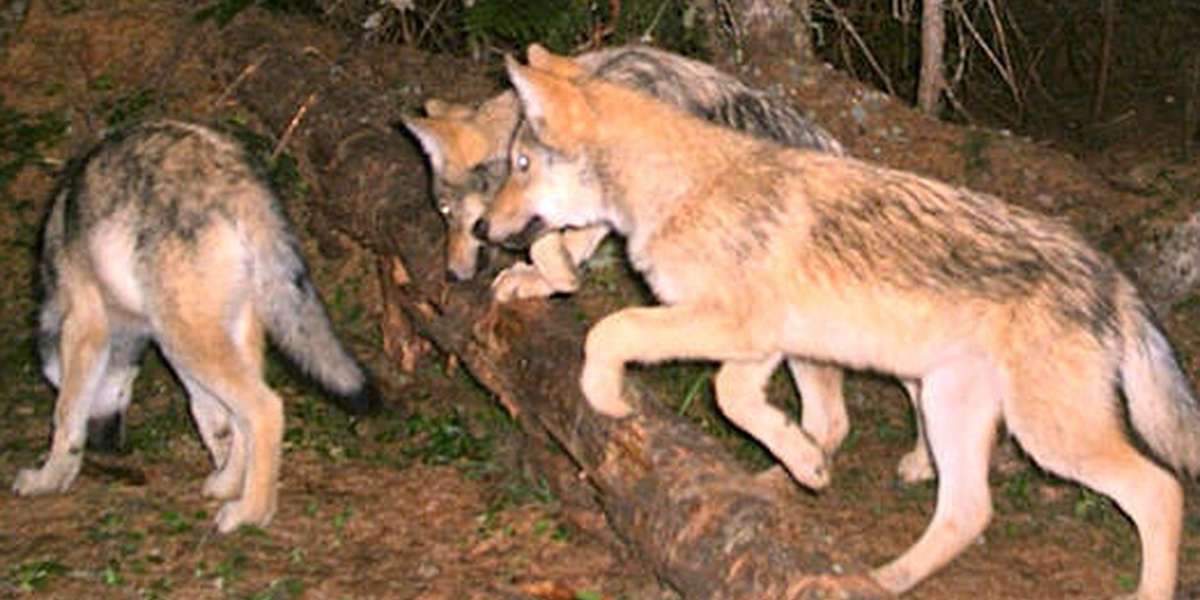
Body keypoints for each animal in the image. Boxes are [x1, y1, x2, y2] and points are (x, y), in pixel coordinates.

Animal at [13, 120, 379, 533]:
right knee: (241, 415)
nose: (112, 447)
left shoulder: (85, 327)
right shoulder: (160, 341)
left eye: (56, 383)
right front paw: (226, 477)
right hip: (211, 333)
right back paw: (234, 486)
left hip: (189, 337)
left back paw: (251, 513)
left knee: (265, 408)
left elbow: (65, 416)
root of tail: (238, 178)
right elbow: (210, 416)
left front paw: (48, 478)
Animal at [476, 45, 1200, 599]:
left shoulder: (735, 327)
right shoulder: (762, 343)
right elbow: (738, 400)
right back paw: (885, 577)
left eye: (520, 165)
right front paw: (804, 463)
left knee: (1161, 490)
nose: (481, 229)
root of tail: (1112, 274)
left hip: (1048, 435)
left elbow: (615, 331)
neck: (679, 189)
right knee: (969, 511)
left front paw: (604, 396)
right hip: (950, 404)